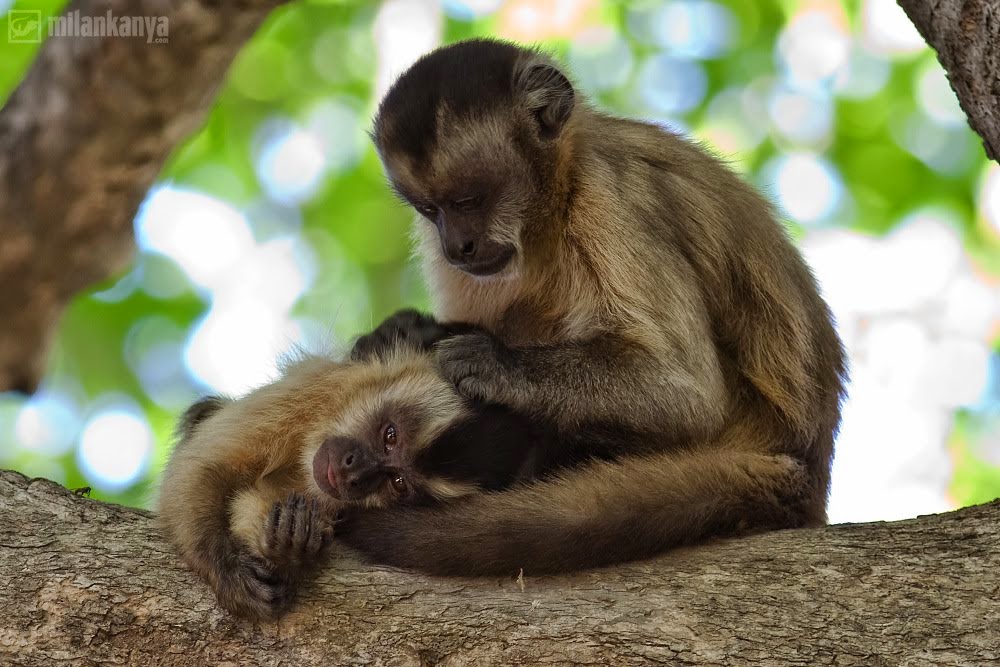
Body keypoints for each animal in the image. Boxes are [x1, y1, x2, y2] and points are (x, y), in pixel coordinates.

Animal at [158, 328, 542, 620]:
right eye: (390, 436)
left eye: (398, 483)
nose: (356, 472)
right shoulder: (312, 390)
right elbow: (203, 466)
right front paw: (229, 572)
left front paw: (288, 548)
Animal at [334, 38, 848, 576]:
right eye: (430, 210)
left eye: (469, 200)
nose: (457, 246)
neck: (555, 201)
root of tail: (809, 474)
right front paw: (409, 330)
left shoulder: (609, 194)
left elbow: (688, 394)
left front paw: (494, 362)